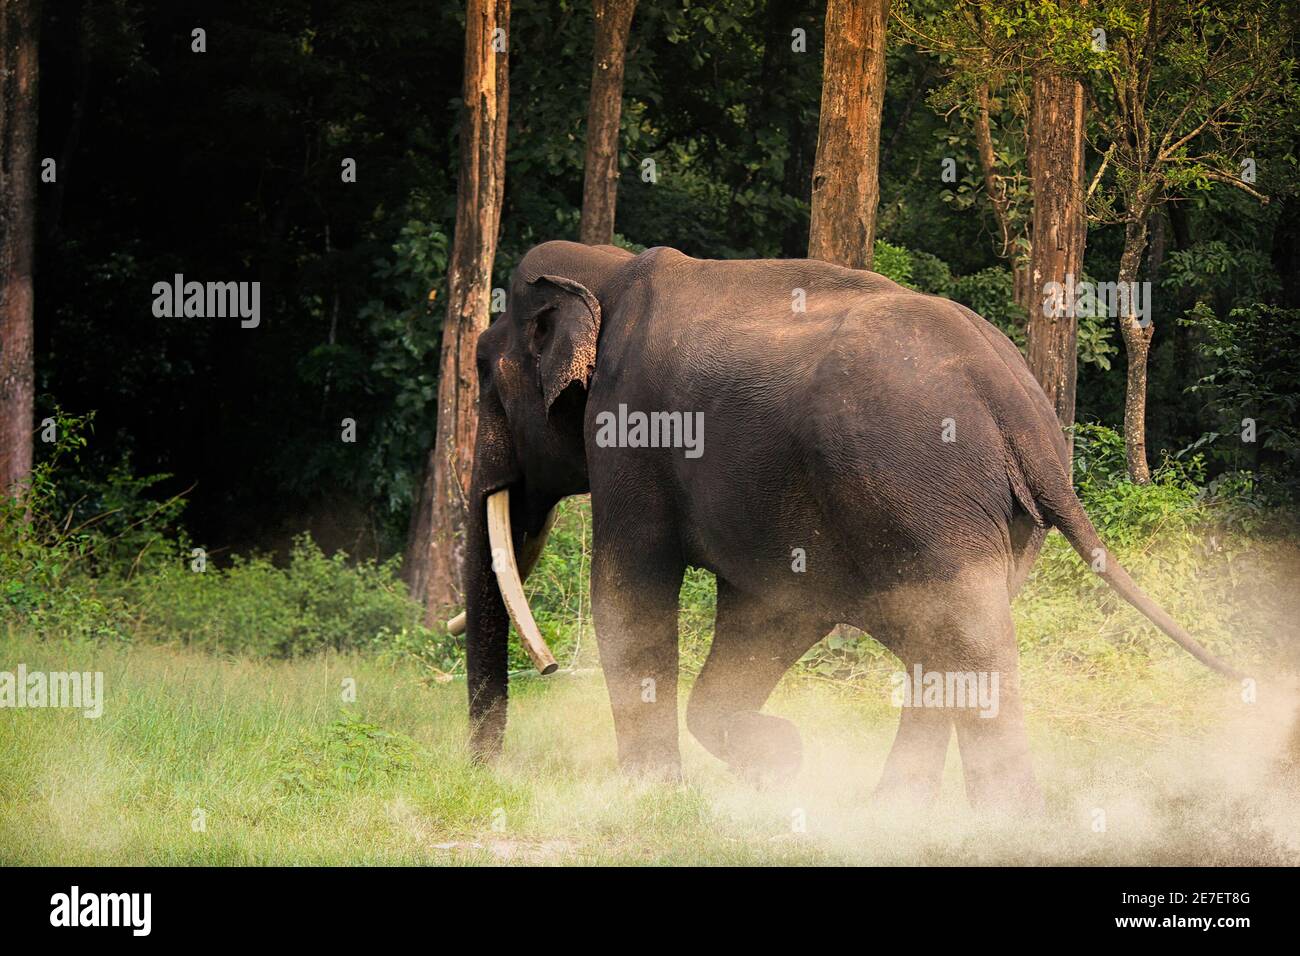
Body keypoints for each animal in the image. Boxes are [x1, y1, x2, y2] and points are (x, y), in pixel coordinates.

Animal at [458, 239, 1237, 812]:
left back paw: (1004, 825)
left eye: (482, 372)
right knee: (943, 636)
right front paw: (780, 764)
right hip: (987, 521)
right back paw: (894, 814)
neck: (607, 269)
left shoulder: (631, 436)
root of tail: (1017, 405)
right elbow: (766, 612)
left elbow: (630, 593)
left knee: (965, 635)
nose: (485, 771)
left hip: (924, 493)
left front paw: (656, 793)